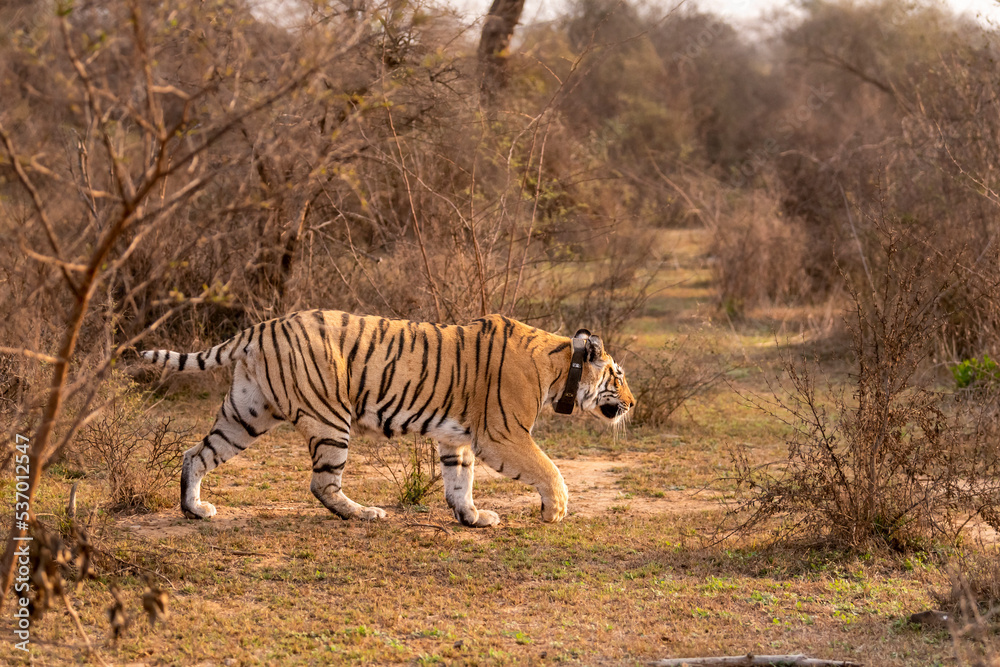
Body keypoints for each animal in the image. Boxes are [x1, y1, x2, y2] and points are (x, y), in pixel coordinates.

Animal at [140, 310, 634, 526]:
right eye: (619, 375)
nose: (631, 404)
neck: (561, 367)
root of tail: (262, 327)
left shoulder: (457, 438)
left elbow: (460, 480)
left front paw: (471, 517)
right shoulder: (504, 435)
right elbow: (549, 470)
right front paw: (556, 511)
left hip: (246, 413)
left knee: (195, 453)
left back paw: (195, 509)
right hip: (329, 419)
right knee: (322, 484)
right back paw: (365, 513)